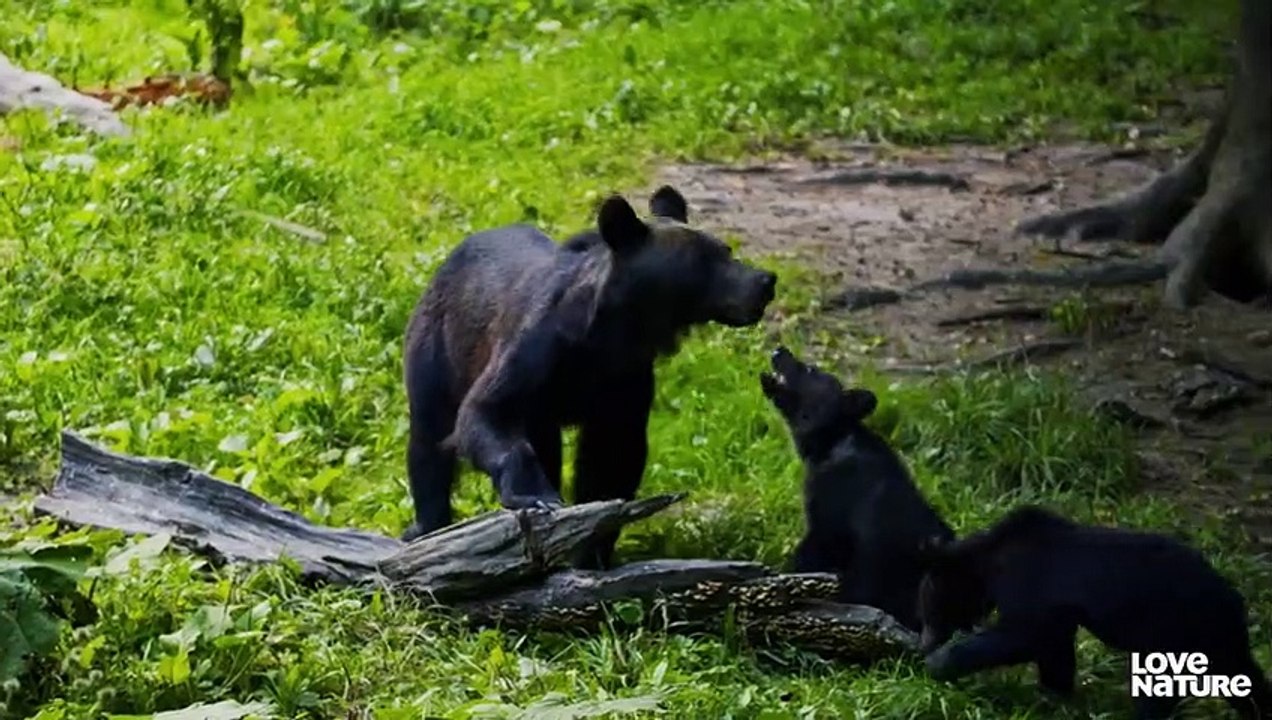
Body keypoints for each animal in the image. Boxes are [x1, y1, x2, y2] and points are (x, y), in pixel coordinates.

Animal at [402, 185, 778, 569]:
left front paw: (592, 548)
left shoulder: (624, 380)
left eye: (725, 249)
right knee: (429, 433)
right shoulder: (536, 354)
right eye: (704, 260)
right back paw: (426, 524)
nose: (764, 281)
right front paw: (537, 496)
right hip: (438, 348)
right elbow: (486, 412)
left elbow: (612, 457)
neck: (613, 335)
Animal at [916, 505, 1272, 720]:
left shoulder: (1033, 587)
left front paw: (940, 664)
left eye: (931, 608)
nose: (923, 644)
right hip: (1219, 641)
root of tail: (1233, 601)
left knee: (1157, 688)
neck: (990, 566)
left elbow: (1026, 635)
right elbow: (1055, 649)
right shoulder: (1058, 609)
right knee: (1245, 678)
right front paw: (1055, 695)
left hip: (1173, 634)